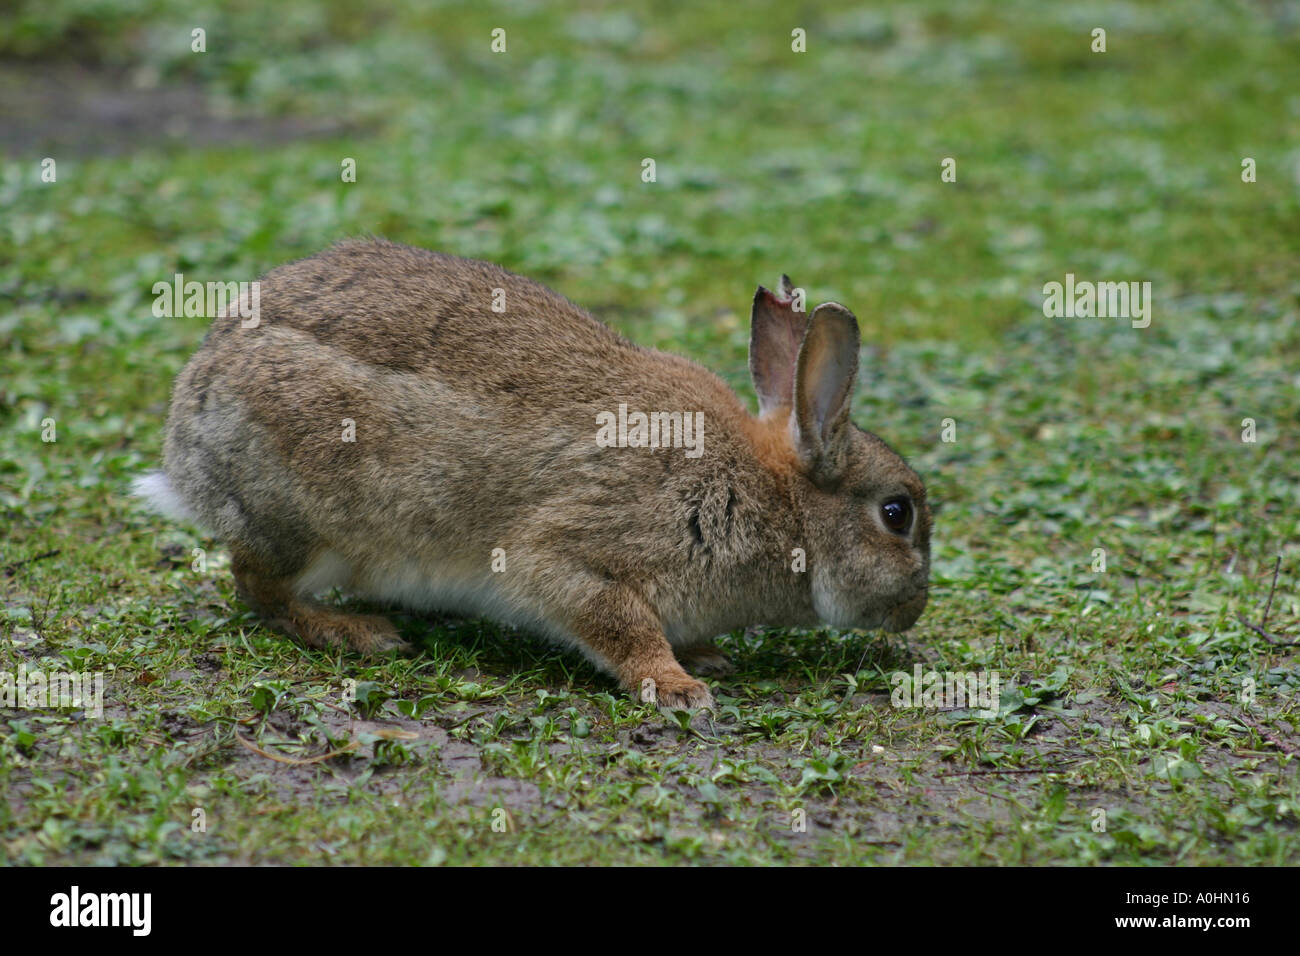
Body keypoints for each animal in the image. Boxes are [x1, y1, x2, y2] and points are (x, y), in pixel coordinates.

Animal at [135, 239, 931, 710]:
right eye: (898, 513)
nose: (913, 611)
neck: (776, 499)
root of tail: (186, 437)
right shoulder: (572, 553)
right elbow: (614, 619)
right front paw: (676, 686)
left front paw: (706, 658)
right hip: (308, 516)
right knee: (257, 585)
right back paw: (359, 631)